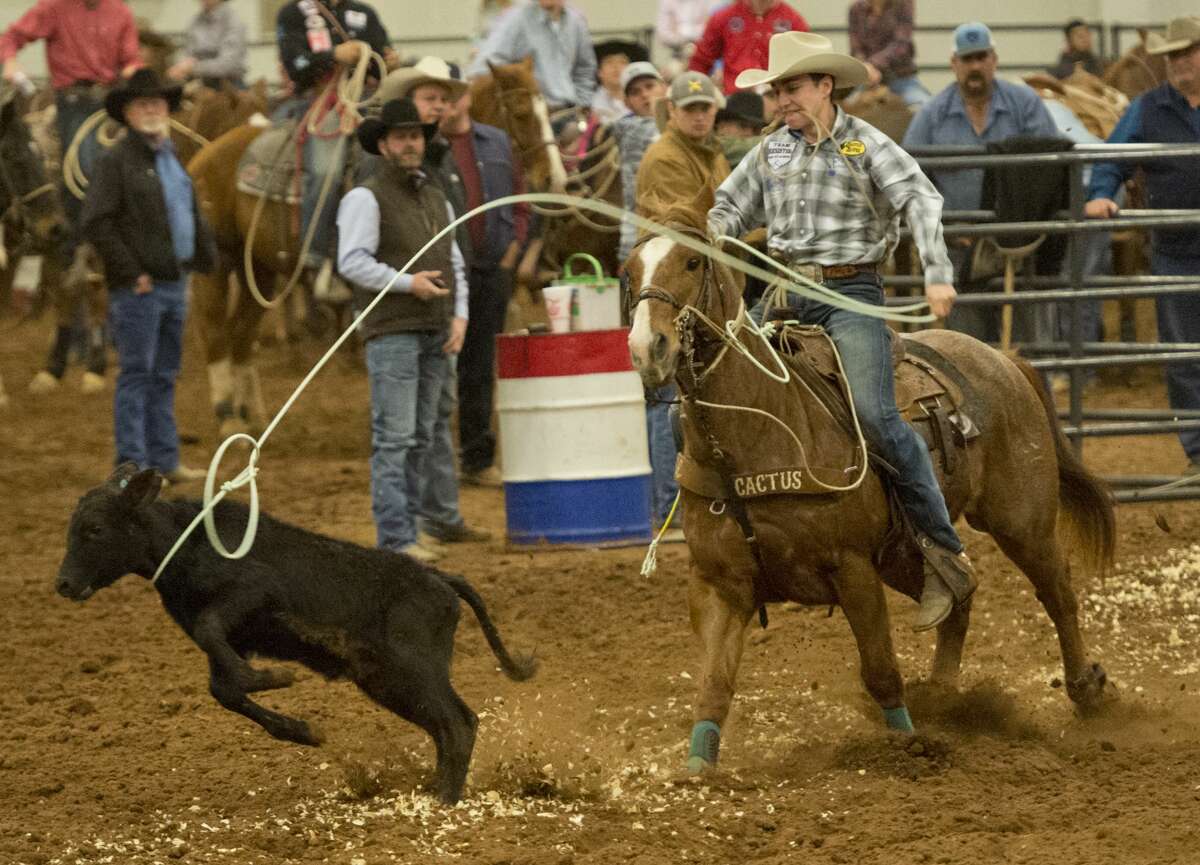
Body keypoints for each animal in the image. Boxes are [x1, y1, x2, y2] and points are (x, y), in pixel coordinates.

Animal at [55, 463, 537, 804]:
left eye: (94, 529)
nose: (63, 584)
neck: (186, 543)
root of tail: (439, 579)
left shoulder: (253, 592)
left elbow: (220, 648)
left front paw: (271, 678)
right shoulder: (229, 638)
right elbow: (221, 687)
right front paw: (302, 730)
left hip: (413, 669)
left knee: (458, 723)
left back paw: (445, 802)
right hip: (386, 681)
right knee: (445, 727)